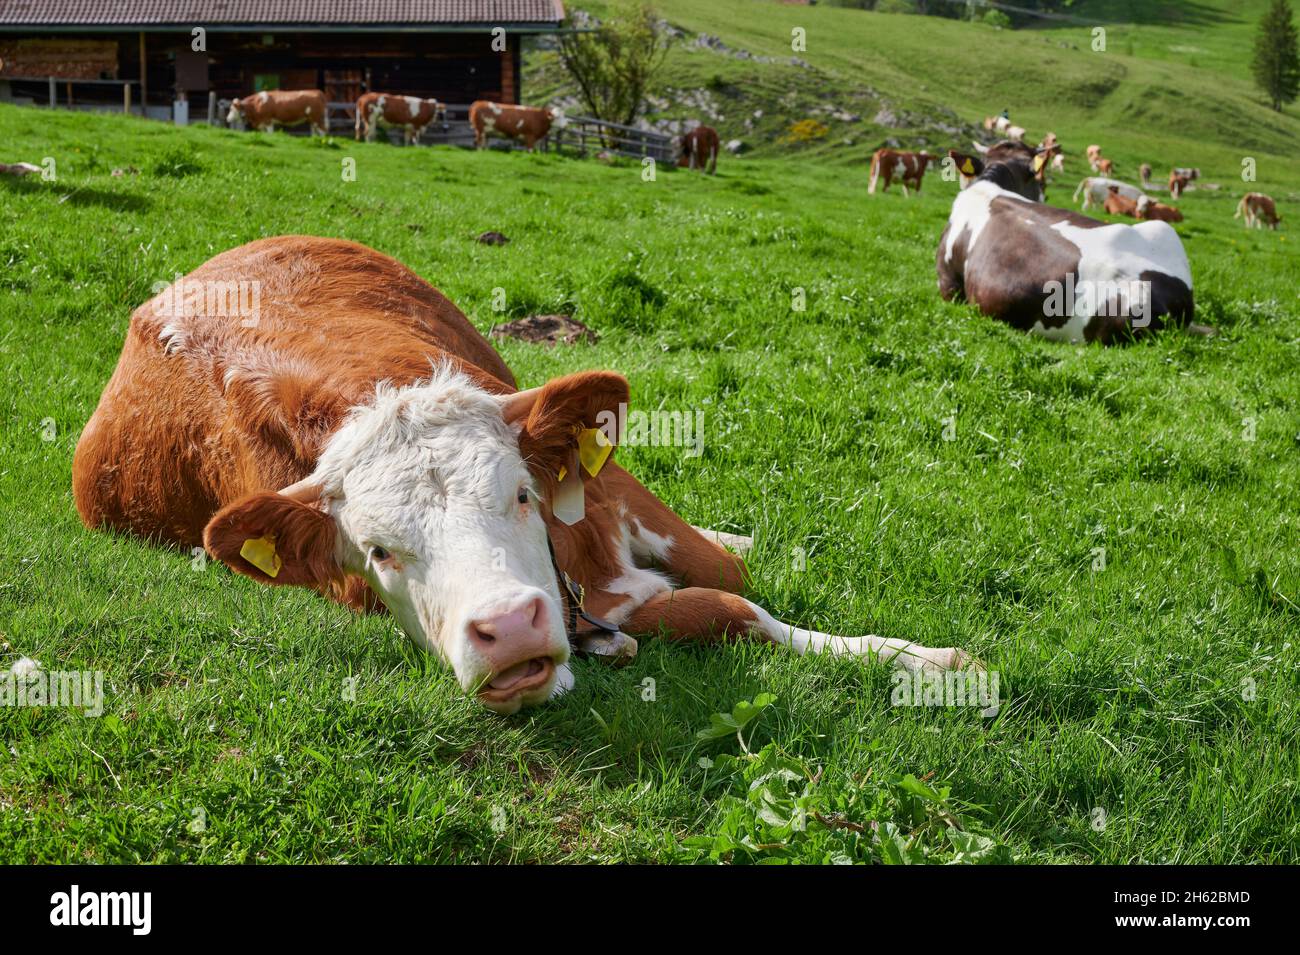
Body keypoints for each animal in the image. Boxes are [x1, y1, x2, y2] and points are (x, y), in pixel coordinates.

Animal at [72, 236, 974, 715]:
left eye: (520, 493)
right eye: (377, 552)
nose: (507, 626)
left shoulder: (619, 492)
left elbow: (733, 585)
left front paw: (919, 659)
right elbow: (713, 609)